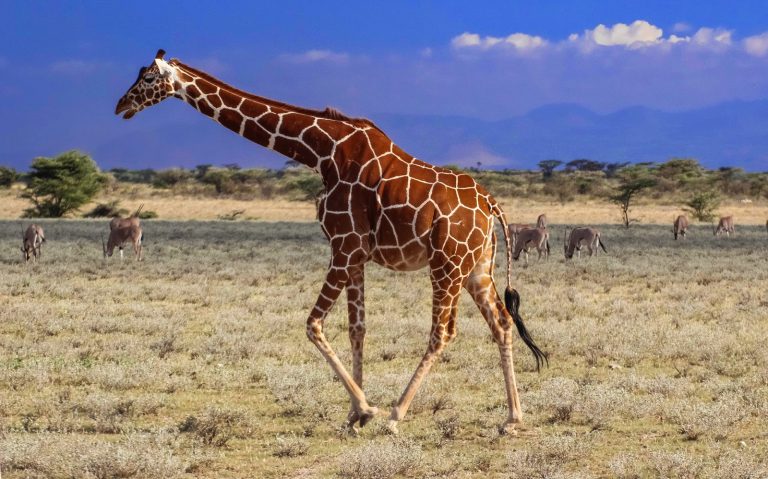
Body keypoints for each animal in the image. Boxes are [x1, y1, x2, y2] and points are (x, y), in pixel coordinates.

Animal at [116, 50, 547, 434]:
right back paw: (512, 418)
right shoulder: (356, 255)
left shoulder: (343, 246)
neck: (322, 153)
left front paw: (367, 409)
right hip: (477, 268)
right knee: (502, 323)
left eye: (148, 78)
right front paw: (354, 416)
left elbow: (313, 325)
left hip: (447, 264)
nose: (121, 105)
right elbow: (358, 329)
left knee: (443, 332)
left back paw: (397, 414)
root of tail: (491, 205)